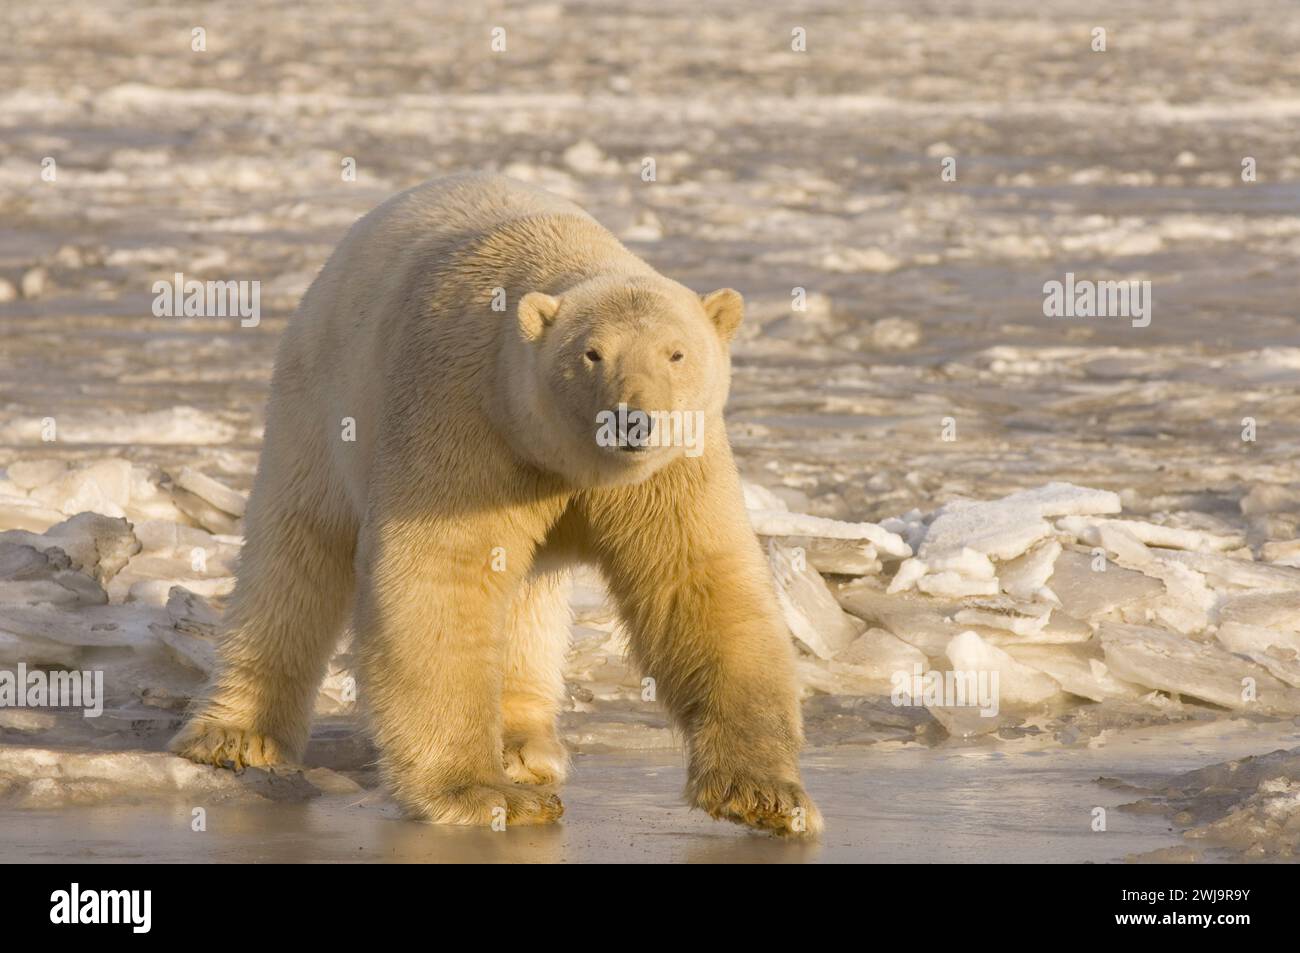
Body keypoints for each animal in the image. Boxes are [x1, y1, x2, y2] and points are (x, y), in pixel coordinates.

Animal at [172, 172, 822, 836]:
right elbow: (441, 574)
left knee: (528, 593)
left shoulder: (672, 467)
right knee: (296, 552)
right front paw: (480, 792)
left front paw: (765, 794)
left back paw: (524, 747)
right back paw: (237, 735)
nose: (632, 421)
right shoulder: (466, 415)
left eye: (676, 353)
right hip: (319, 401)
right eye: (592, 353)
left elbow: (695, 581)